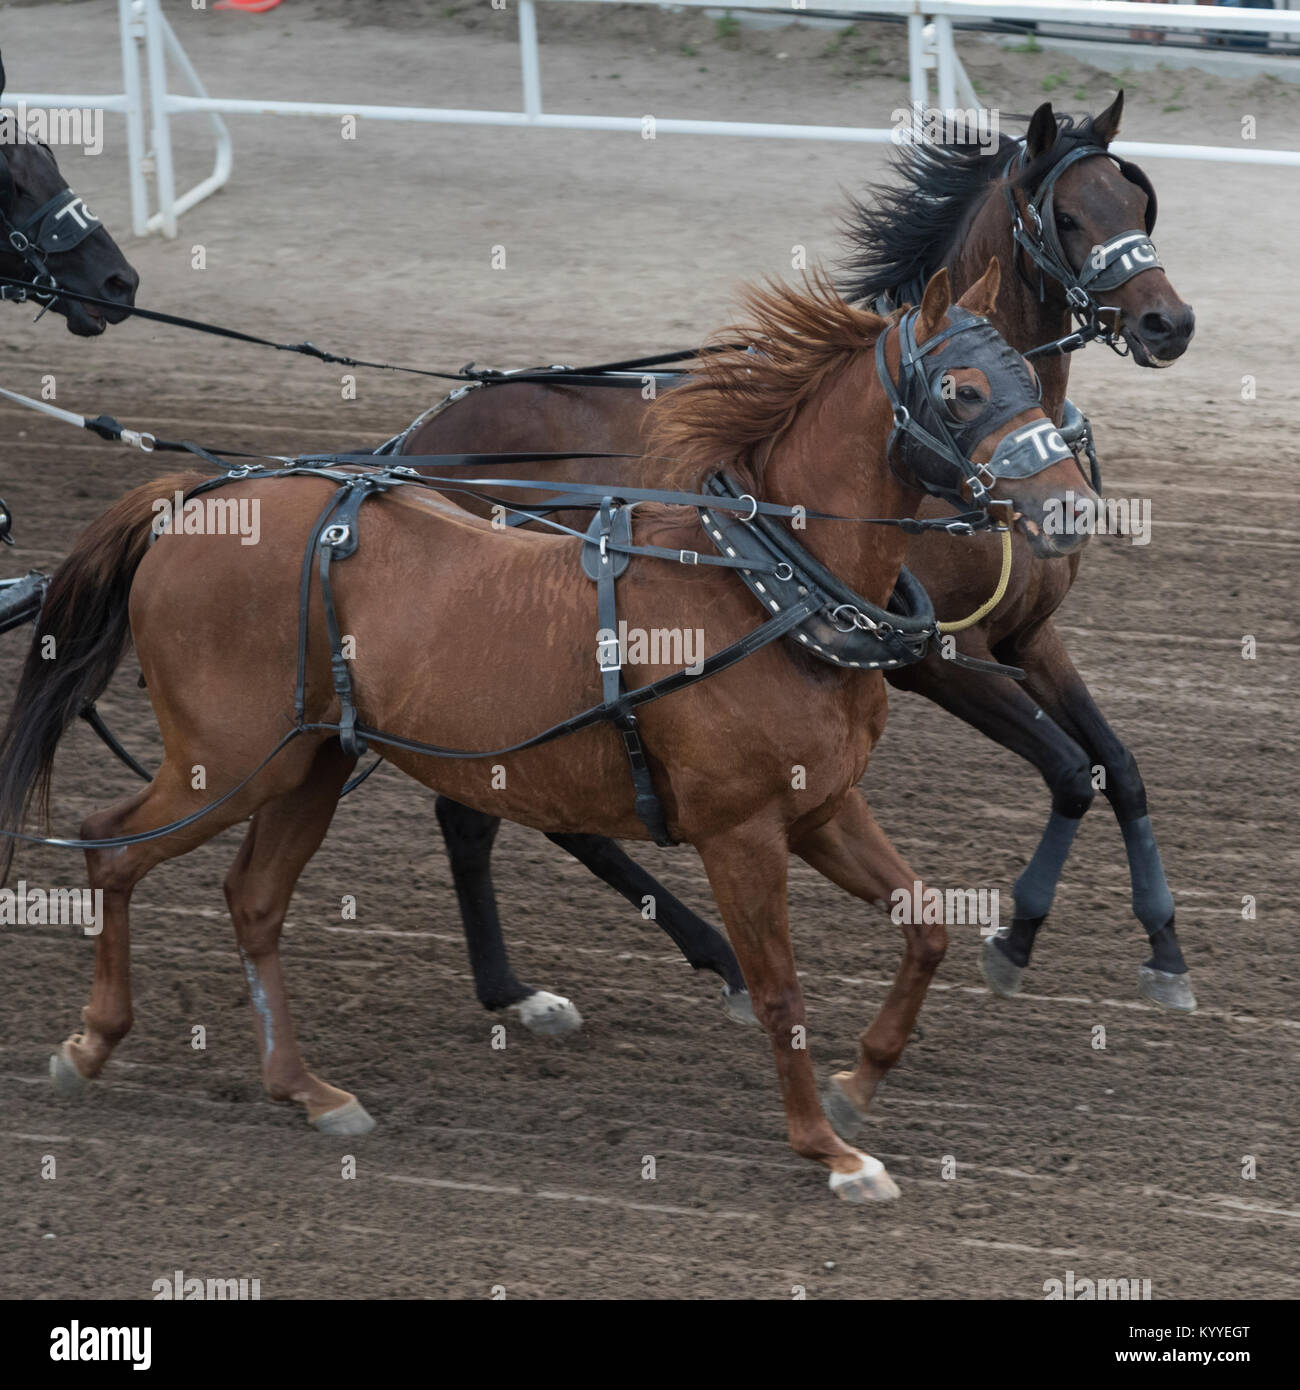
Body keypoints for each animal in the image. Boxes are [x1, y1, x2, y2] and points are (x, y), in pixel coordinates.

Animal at [0, 264, 1092, 1202]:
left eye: (1027, 373)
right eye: (960, 390)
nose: (1076, 508)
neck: (761, 582)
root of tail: (196, 500)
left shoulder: (822, 806)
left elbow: (927, 924)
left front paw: (856, 1085)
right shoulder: (739, 832)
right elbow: (781, 991)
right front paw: (827, 1149)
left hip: (307, 763)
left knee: (254, 899)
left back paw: (307, 1090)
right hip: (220, 762)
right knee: (108, 845)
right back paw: (91, 1043)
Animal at [388, 94, 1199, 1027]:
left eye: (1137, 202)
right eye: (1068, 215)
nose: (1168, 322)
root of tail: (415, 443)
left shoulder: (1028, 638)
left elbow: (1120, 770)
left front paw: (1165, 950)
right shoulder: (941, 657)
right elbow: (1069, 772)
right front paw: (1016, 936)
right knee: (487, 813)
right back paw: (556, 985)